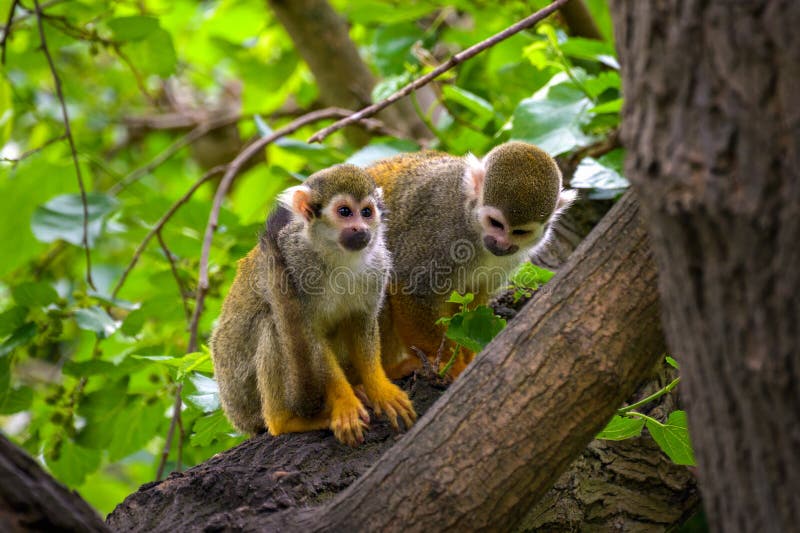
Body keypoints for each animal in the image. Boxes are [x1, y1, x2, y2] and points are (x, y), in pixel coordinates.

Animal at [211, 164, 416, 446]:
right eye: (344, 212)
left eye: (366, 212)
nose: (361, 228)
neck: (336, 254)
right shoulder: (295, 262)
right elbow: (313, 336)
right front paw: (345, 404)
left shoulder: (379, 264)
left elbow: (362, 322)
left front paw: (379, 388)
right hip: (242, 393)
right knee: (274, 325)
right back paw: (285, 421)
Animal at [366, 141, 577, 378]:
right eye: (496, 223)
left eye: (520, 232)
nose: (501, 244)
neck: (472, 223)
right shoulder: (443, 231)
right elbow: (411, 287)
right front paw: (450, 364)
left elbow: (472, 300)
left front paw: (468, 354)